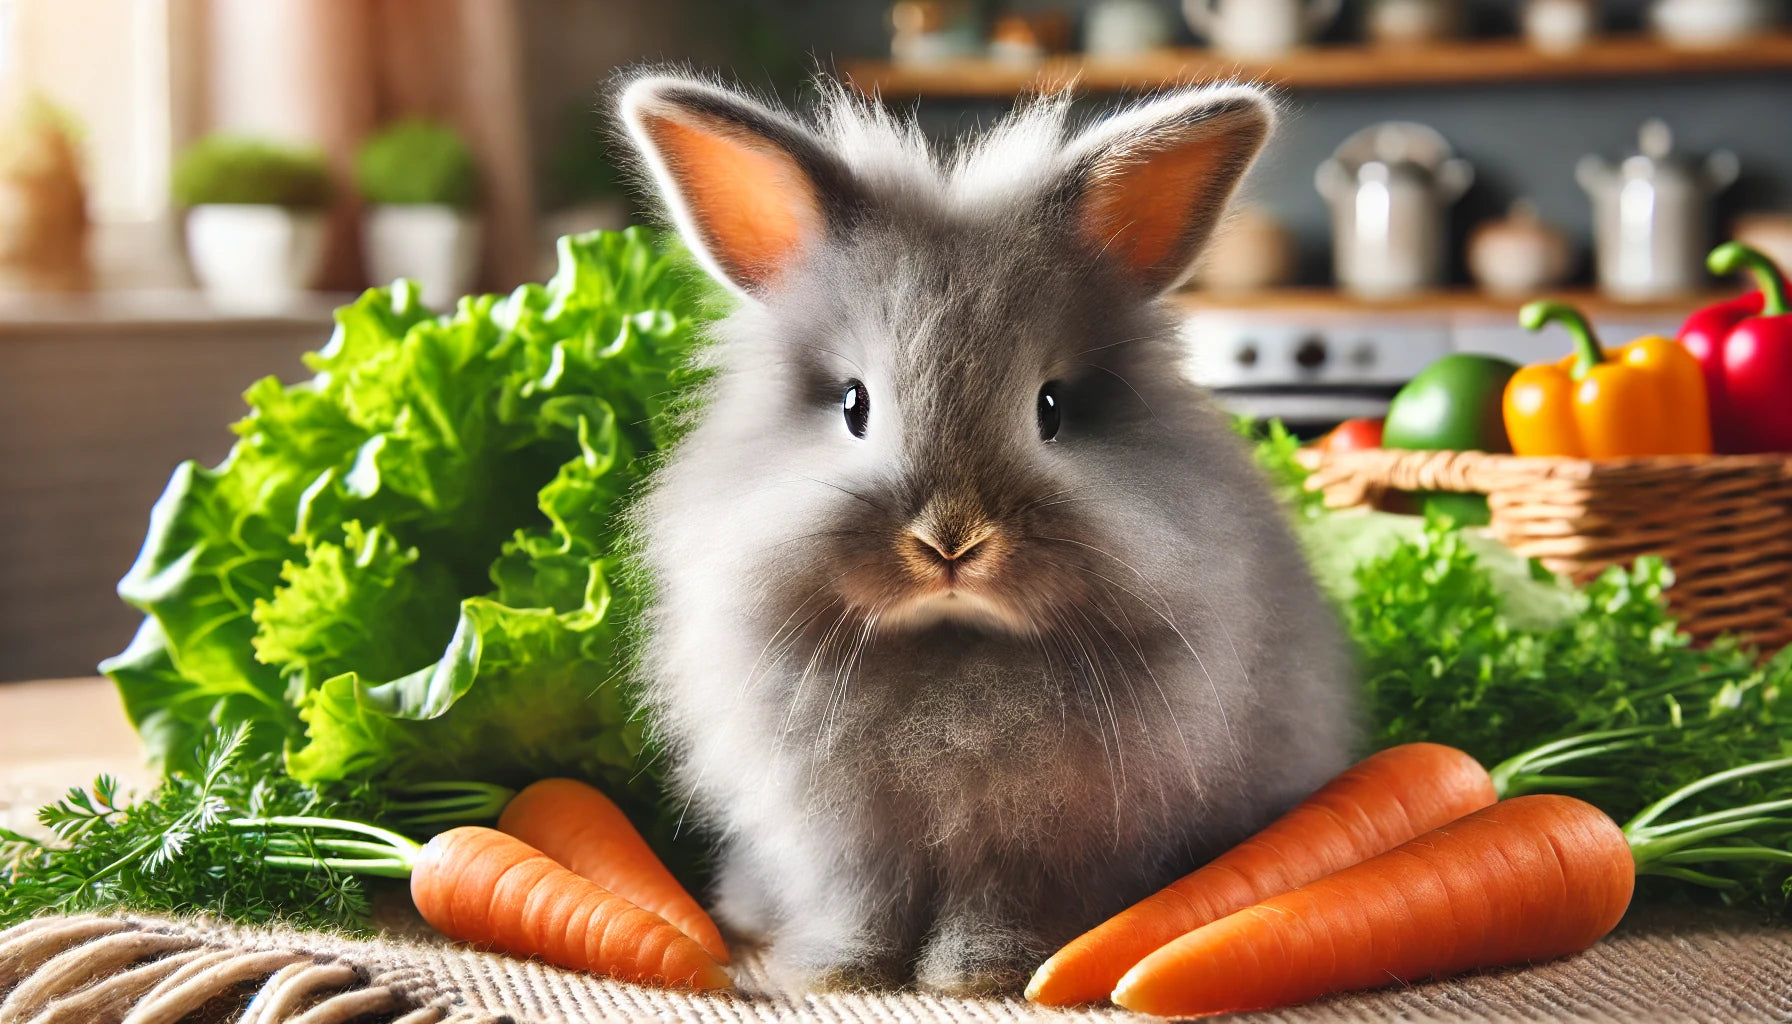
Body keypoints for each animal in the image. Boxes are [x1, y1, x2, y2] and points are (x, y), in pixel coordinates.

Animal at [618, 70, 1359, 996]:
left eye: (1052, 408)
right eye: (854, 404)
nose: (951, 542)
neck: (954, 655)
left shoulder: (1040, 837)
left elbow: (996, 903)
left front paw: (973, 977)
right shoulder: (841, 832)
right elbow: (859, 901)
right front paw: (836, 974)